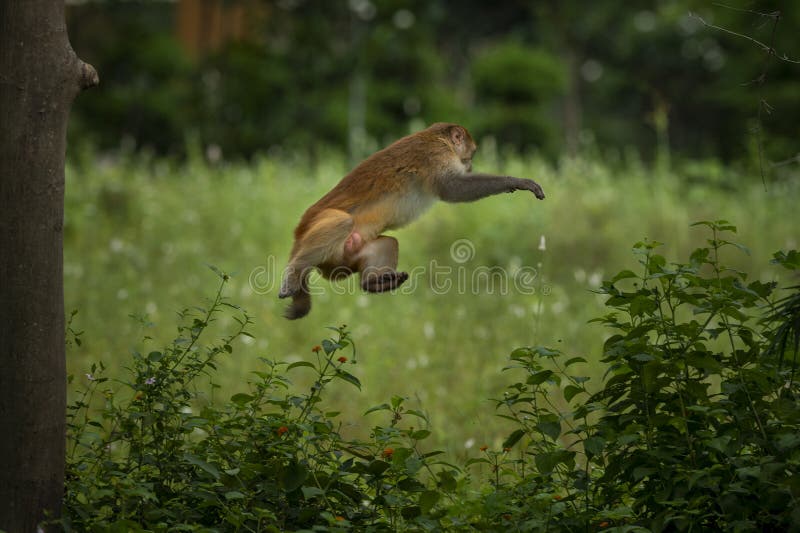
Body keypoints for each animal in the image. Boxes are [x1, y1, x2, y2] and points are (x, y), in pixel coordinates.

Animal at [279, 122, 545, 319]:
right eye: (471, 155)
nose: (470, 166)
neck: (437, 139)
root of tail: (298, 234)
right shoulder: (435, 156)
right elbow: (453, 189)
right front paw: (517, 182)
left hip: (343, 256)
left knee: (388, 243)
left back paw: (373, 283)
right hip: (315, 232)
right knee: (341, 223)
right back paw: (295, 271)